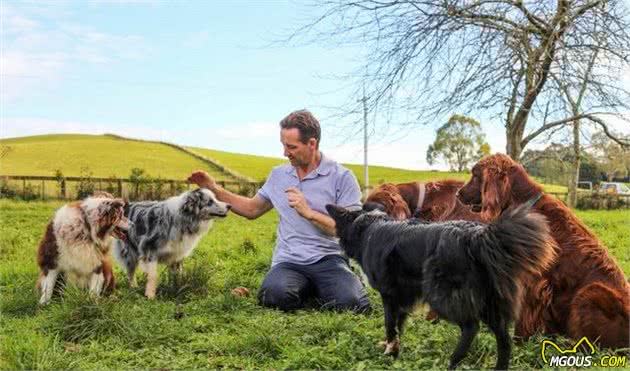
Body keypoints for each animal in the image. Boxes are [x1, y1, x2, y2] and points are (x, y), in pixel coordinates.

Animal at [328, 205, 560, 370]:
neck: (368, 226)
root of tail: (477, 235)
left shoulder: (389, 294)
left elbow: (389, 324)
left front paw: (389, 351)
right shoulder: (403, 297)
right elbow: (399, 325)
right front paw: (395, 351)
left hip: (442, 296)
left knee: (471, 327)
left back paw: (453, 361)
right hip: (490, 303)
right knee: (504, 340)